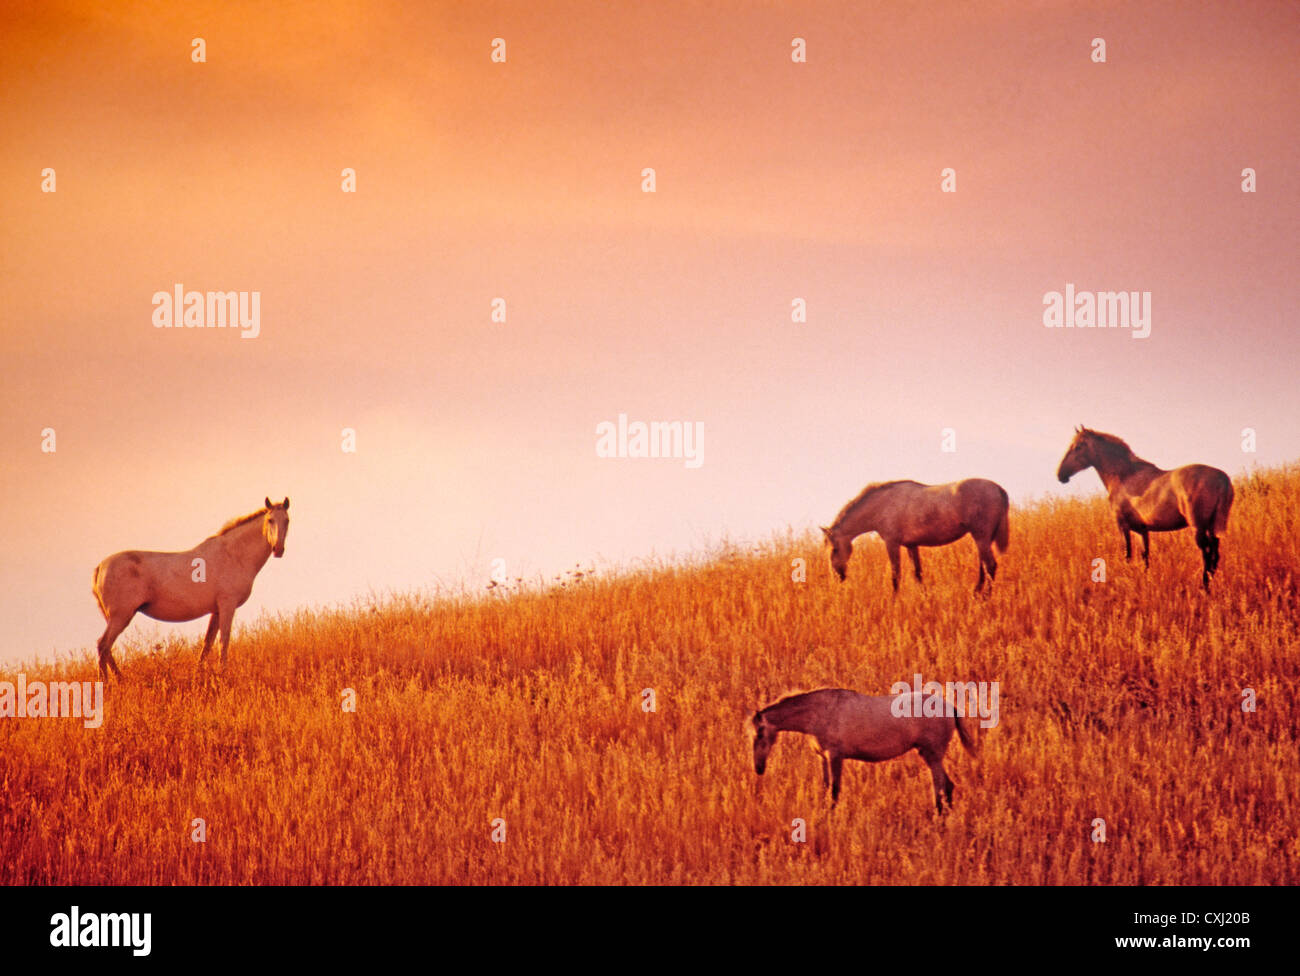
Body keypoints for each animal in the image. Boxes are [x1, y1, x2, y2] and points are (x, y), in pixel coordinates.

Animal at [91, 498, 290, 679]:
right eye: (270, 520)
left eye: (287, 520)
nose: (278, 549)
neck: (234, 555)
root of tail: (101, 567)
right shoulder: (227, 605)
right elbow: (223, 640)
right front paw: (223, 673)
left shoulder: (216, 610)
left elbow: (207, 643)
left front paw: (198, 674)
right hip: (121, 615)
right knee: (103, 645)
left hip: (118, 617)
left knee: (107, 649)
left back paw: (120, 680)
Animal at [751, 688, 978, 812]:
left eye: (760, 733)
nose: (758, 768)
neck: (820, 712)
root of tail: (950, 707)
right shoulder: (823, 758)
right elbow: (825, 788)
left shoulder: (835, 757)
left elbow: (834, 791)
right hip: (929, 755)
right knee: (947, 787)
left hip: (933, 755)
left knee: (941, 788)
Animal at [821, 478, 1009, 594]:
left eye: (835, 549)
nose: (837, 577)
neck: (882, 505)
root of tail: (998, 489)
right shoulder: (911, 545)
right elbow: (917, 574)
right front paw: (925, 599)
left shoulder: (892, 543)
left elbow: (896, 576)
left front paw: (894, 602)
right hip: (983, 538)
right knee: (983, 566)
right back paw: (976, 594)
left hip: (981, 536)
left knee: (990, 566)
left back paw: (984, 598)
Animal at [1056, 426, 1233, 590]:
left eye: (1078, 446)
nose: (1060, 475)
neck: (1124, 476)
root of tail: (1222, 477)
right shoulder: (1143, 531)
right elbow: (1145, 557)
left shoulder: (1123, 526)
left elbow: (1127, 554)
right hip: (1212, 526)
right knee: (1215, 552)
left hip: (1199, 527)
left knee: (1207, 553)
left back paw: (1204, 585)